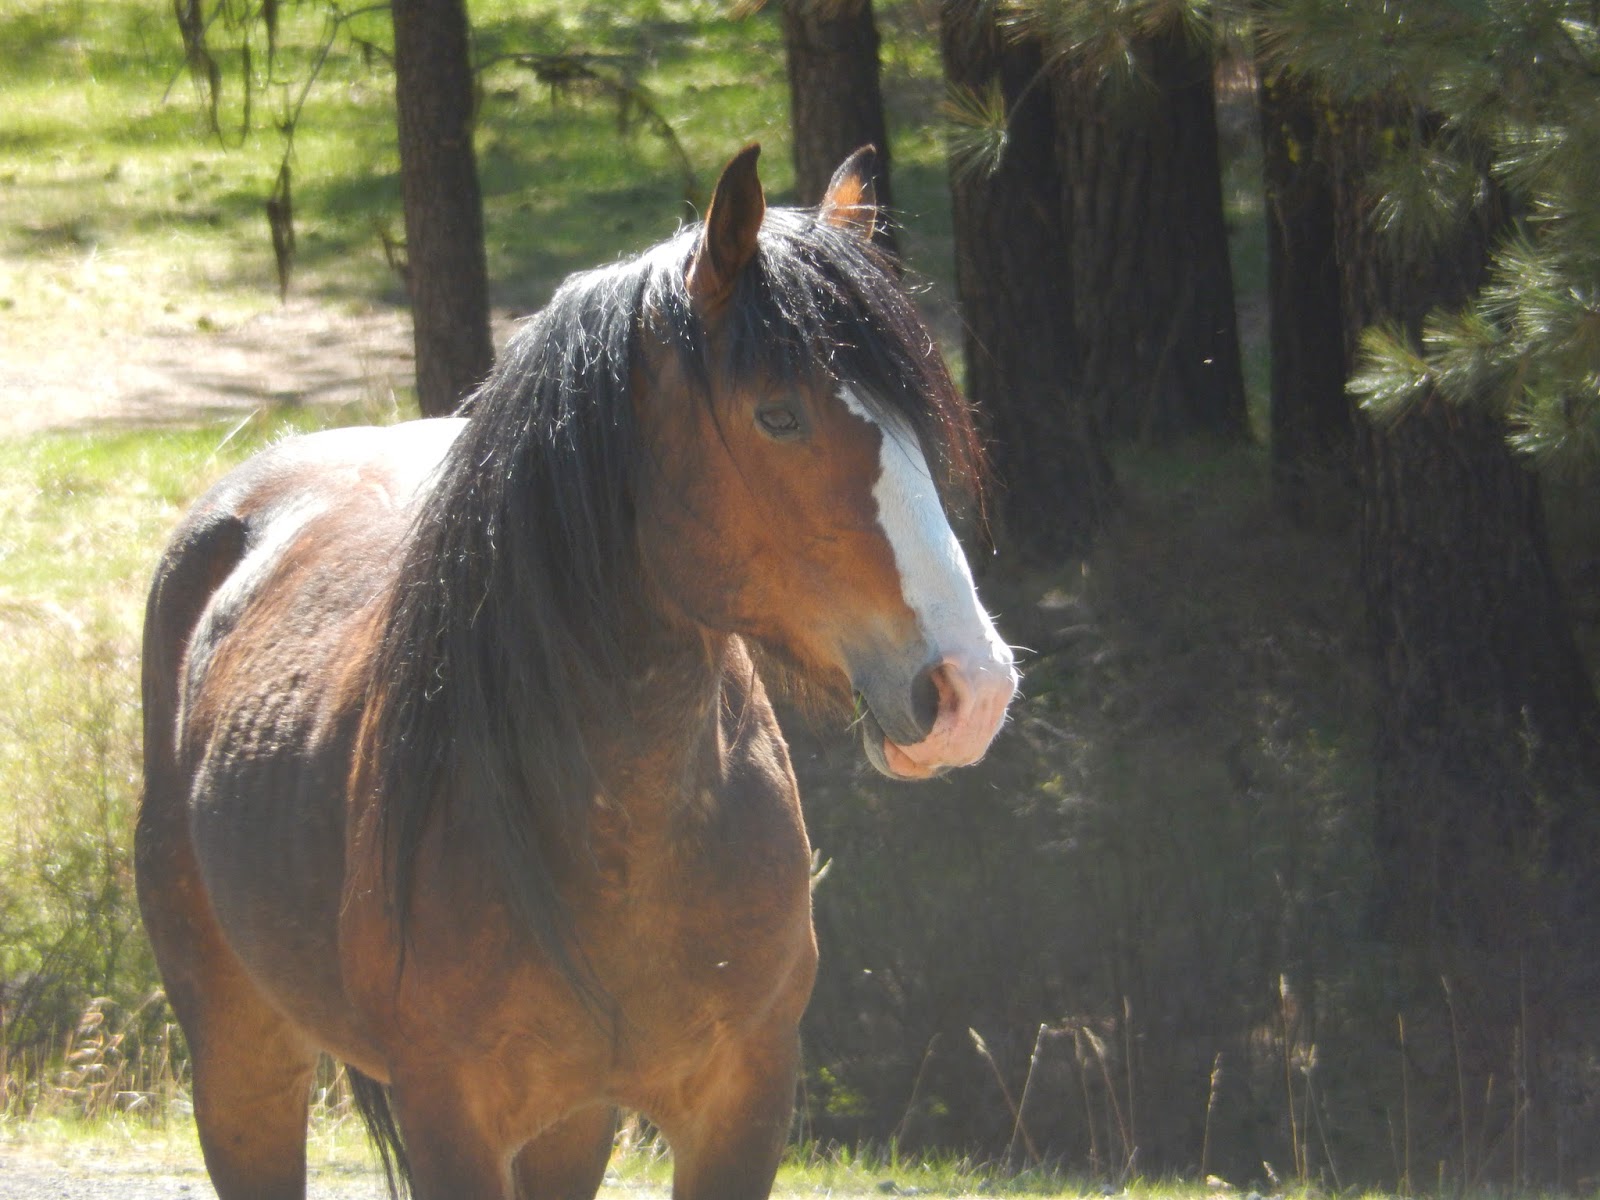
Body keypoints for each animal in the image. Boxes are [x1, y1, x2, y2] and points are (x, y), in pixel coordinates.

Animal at [136, 144, 1017, 1200]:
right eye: (778, 415)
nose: (972, 689)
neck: (619, 842)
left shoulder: (741, 1104)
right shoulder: (450, 1120)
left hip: (570, 1126)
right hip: (242, 1062)